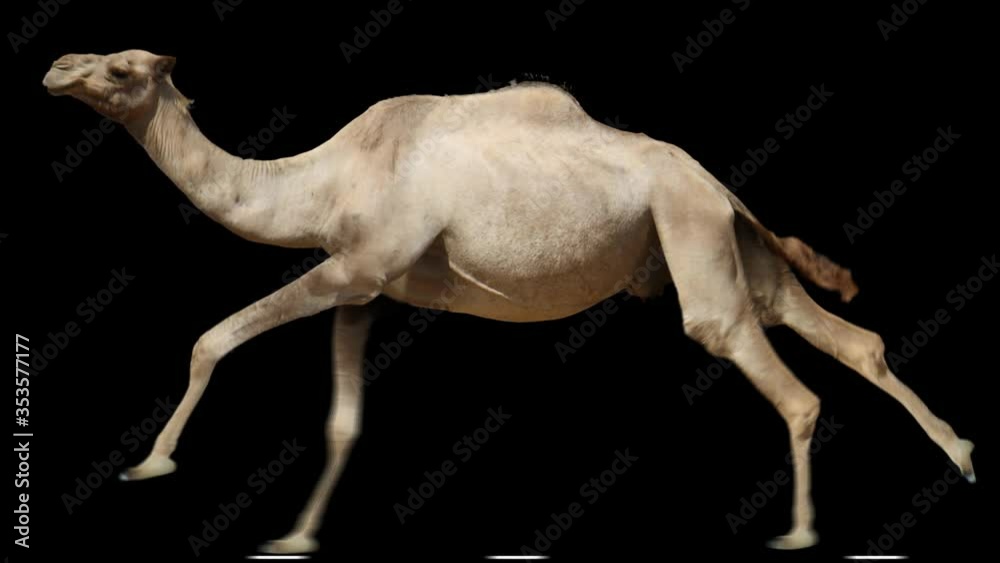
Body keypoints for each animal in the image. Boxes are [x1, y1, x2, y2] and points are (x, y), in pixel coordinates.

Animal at [43, 49, 975, 554]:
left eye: (121, 66)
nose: (55, 68)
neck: (323, 177)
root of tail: (719, 183)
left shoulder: (355, 264)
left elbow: (212, 336)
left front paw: (150, 463)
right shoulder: (364, 285)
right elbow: (343, 421)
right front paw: (297, 534)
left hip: (691, 230)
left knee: (771, 370)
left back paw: (802, 530)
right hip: (731, 246)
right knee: (849, 338)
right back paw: (962, 453)